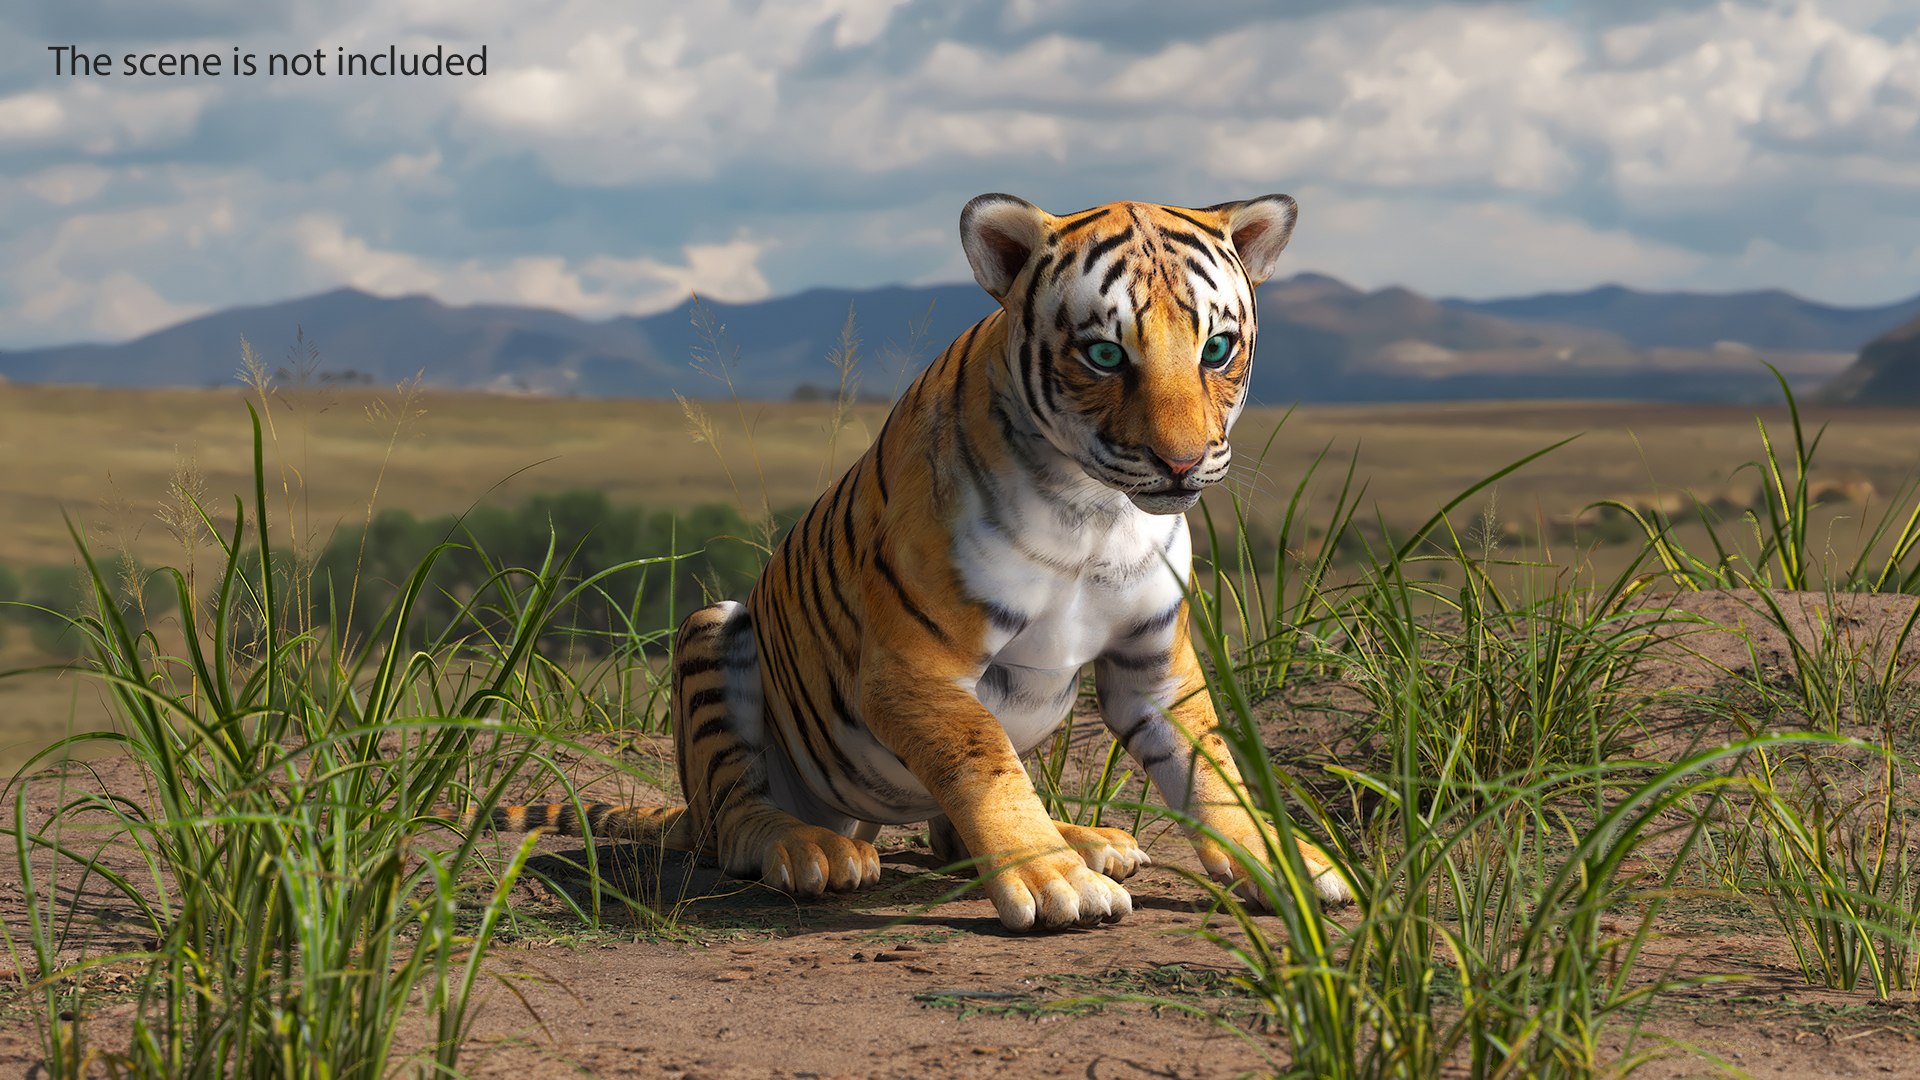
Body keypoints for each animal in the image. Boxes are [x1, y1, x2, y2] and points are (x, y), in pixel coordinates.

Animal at [474, 192, 1352, 932]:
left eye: (1217, 349)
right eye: (1104, 355)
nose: (1182, 463)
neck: (1095, 509)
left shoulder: (1154, 669)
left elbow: (1215, 771)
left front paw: (1282, 863)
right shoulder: (912, 667)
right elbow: (982, 761)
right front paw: (1050, 881)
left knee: (948, 836)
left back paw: (1089, 838)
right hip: (714, 631)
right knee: (734, 821)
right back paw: (814, 850)